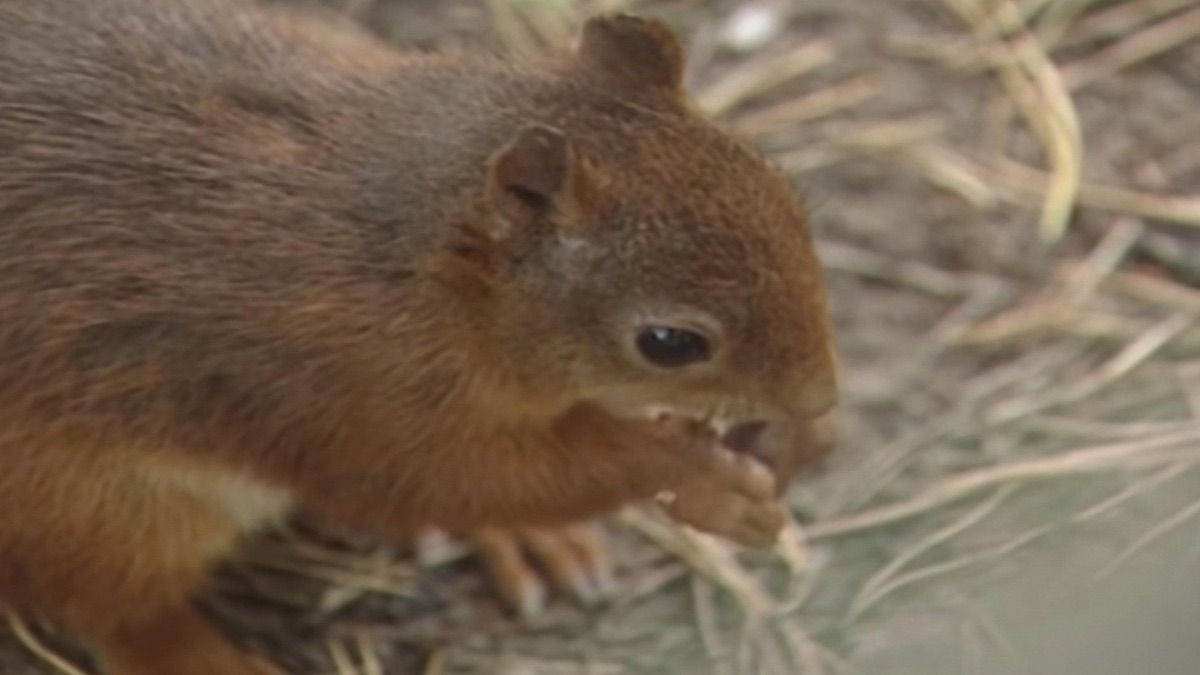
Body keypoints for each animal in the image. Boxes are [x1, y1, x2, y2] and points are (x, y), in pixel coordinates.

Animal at [0, 1, 838, 674]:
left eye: (792, 206)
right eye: (669, 342)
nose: (822, 400)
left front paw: (785, 444)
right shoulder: (350, 393)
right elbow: (469, 479)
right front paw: (699, 475)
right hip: (92, 508)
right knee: (114, 609)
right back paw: (205, 658)